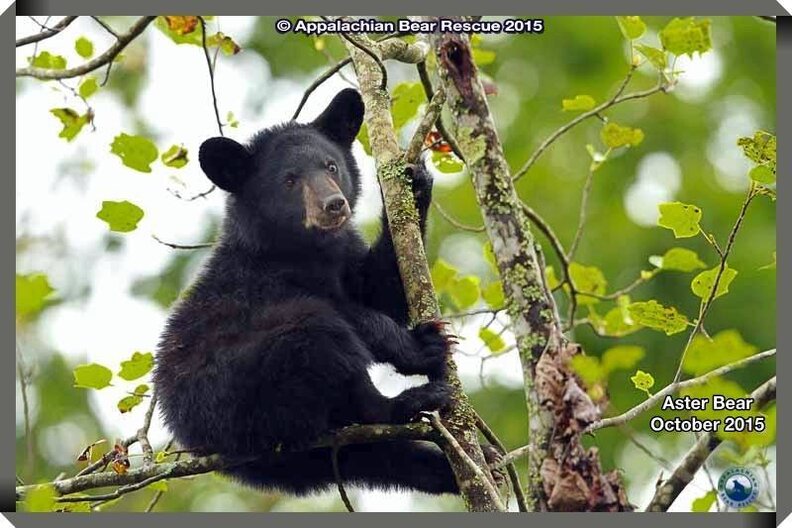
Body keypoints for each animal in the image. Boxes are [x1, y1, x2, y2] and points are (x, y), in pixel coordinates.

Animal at [153, 89, 461, 496]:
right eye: (288, 180)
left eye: (330, 166)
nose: (334, 205)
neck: (309, 252)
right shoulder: (264, 283)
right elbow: (353, 313)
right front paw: (420, 346)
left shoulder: (346, 255)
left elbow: (379, 290)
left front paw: (414, 183)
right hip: (250, 392)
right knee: (322, 333)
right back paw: (412, 400)